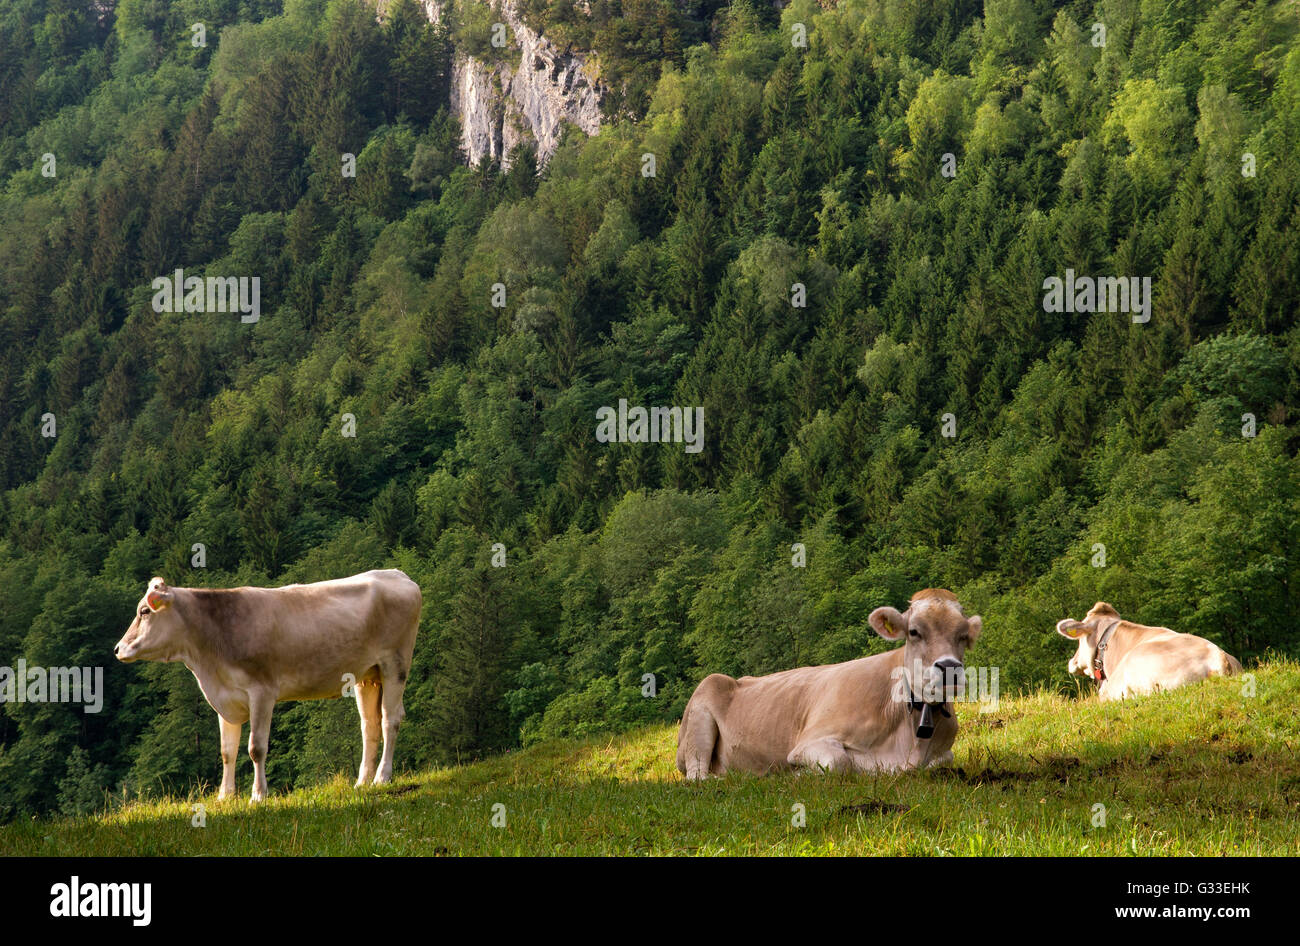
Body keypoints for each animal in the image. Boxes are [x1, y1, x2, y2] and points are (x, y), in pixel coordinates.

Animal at [114, 569, 422, 801]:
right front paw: (225, 797)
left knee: (390, 720)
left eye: (144, 611)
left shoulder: (262, 692)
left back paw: (382, 777)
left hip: (395, 664)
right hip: (367, 675)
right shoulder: (225, 699)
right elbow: (227, 751)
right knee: (369, 725)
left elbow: (256, 747)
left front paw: (258, 794)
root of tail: (398, 574)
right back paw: (362, 781)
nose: (118, 648)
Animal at [676, 588, 982, 779]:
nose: (949, 668)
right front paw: (795, 773)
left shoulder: (942, 754)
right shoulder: (809, 742)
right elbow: (839, 762)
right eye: (914, 631)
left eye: (964, 635)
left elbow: (943, 761)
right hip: (702, 707)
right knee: (697, 774)